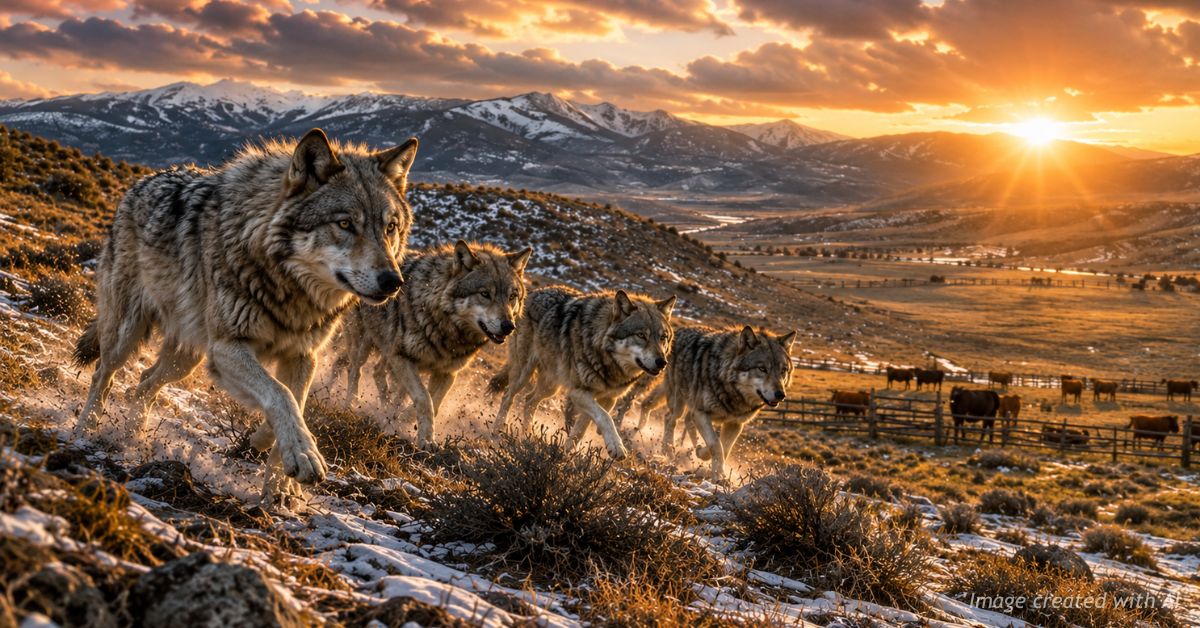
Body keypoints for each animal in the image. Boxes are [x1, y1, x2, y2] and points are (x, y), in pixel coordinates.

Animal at [72, 128, 418, 504]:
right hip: (128, 334)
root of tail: (139, 183)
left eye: (390, 227)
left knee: (145, 382)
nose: (393, 281)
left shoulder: (303, 356)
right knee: (103, 374)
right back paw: (85, 430)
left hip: (186, 359)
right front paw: (302, 453)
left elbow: (293, 402)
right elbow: (280, 395)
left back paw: (132, 435)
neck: (289, 290)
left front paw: (277, 484)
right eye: (344, 224)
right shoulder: (228, 347)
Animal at [336, 240, 531, 446]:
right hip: (363, 345)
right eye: (485, 294)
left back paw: (386, 408)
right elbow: (424, 399)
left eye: (512, 296)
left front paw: (401, 420)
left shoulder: (447, 372)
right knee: (354, 371)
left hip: (386, 352)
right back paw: (351, 405)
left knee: (377, 373)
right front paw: (425, 441)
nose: (508, 326)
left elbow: (434, 403)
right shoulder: (402, 358)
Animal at [489, 287, 675, 459]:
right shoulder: (579, 392)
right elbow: (606, 418)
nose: (662, 362)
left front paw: (565, 455)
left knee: (529, 400)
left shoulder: (608, 399)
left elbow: (581, 430)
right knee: (508, 396)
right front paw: (616, 446)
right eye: (641, 335)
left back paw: (527, 436)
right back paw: (496, 432)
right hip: (524, 373)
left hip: (551, 387)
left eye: (663, 337)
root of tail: (534, 292)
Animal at [632, 325, 795, 479]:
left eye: (783, 370)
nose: (781, 395)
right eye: (762, 369)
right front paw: (718, 476)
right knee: (670, 418)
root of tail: (679, 330)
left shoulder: (735, 424)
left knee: (685, 420)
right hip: (678, 401)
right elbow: (716, 444)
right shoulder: (701, 413)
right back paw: (667, 451)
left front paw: (710, 462)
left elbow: (724, 448)